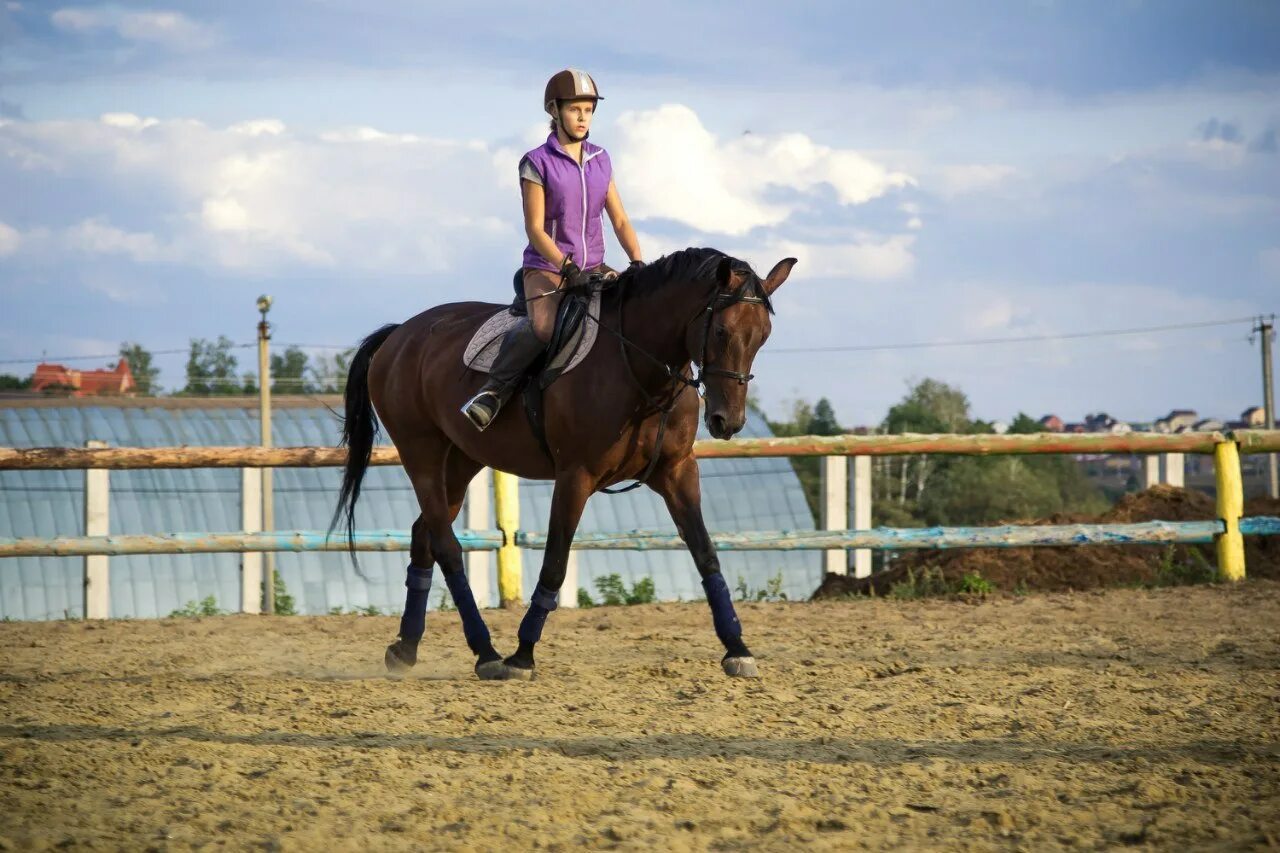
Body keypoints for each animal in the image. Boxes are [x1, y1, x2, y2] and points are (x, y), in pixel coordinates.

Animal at [332, 244, 788, 676]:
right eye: (723, 331)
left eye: (763, 336)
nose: (728, 421)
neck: (638, 369)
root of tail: (400, 334)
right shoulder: (575, 477)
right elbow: (554, 563)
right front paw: (522, 656)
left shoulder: (677, 473)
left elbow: (706, 553)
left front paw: (737, 649)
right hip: (421, 453)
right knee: (446, 546)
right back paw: (486, 653)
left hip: (460, 462)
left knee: (423, 535)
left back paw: (406, 648)